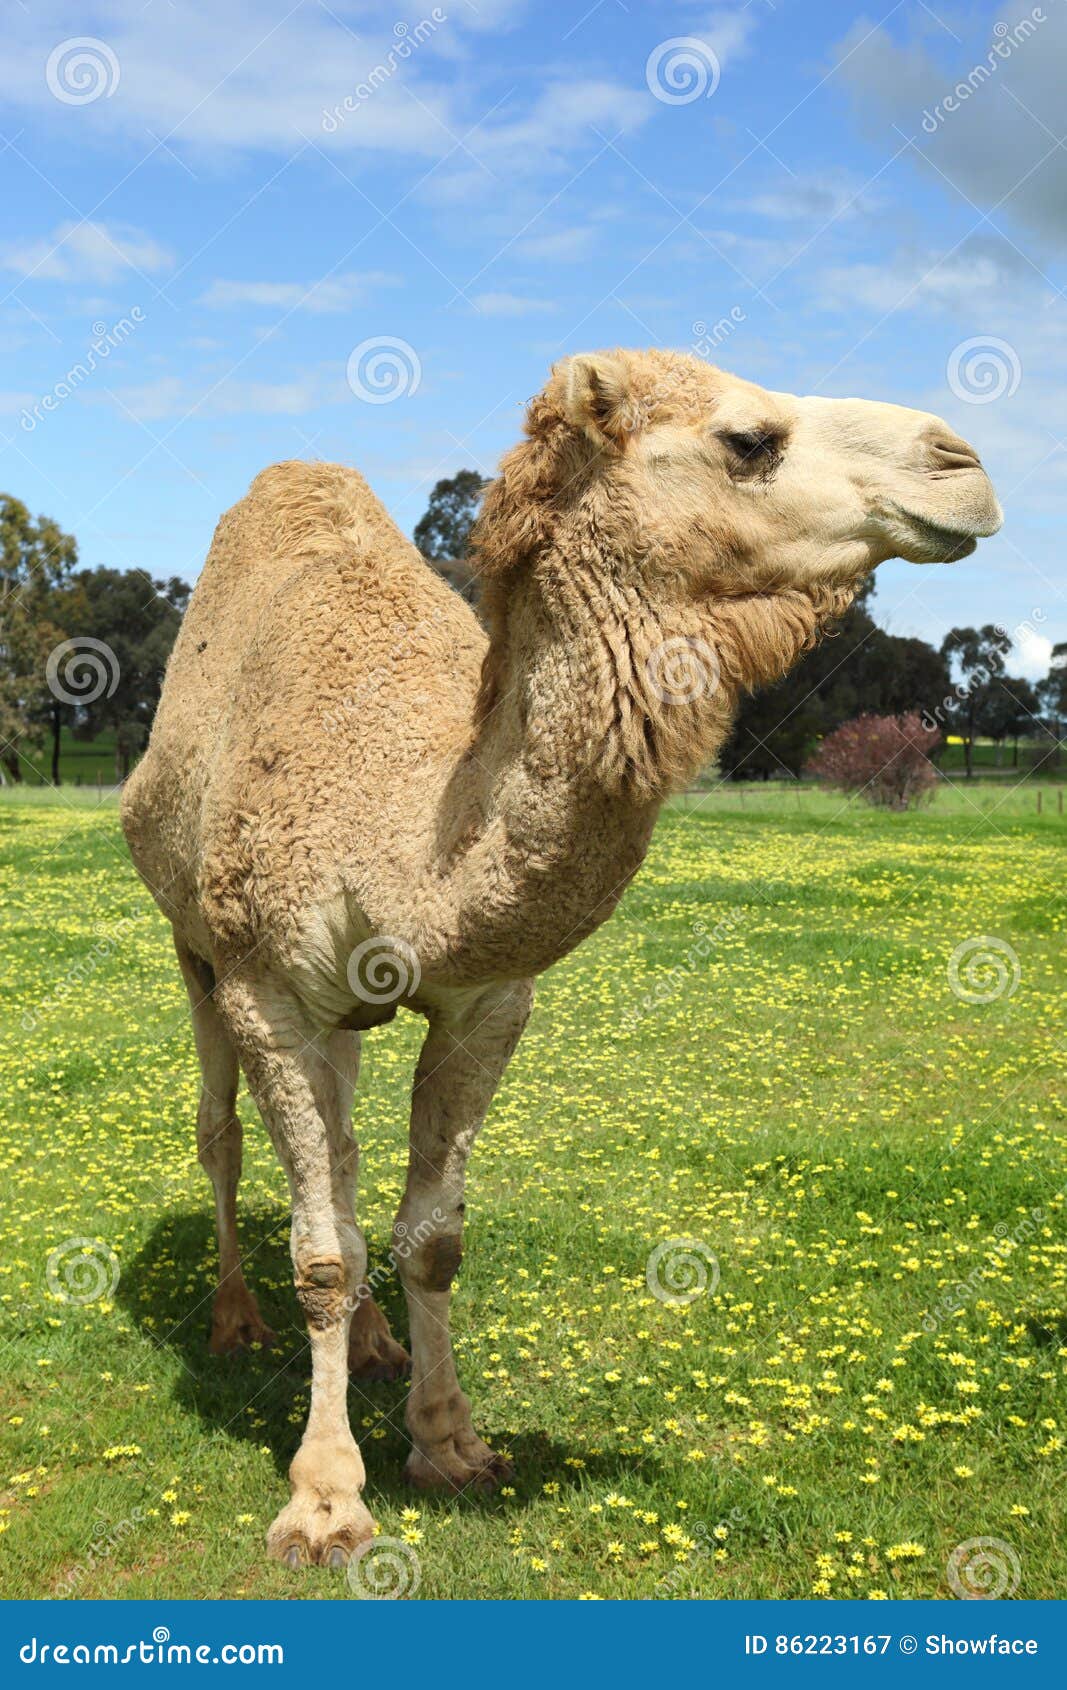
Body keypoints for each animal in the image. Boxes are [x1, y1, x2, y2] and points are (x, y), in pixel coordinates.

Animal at [121, 348, 1002, 1567]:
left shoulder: (488, 998)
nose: (962, 467)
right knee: (222, 1138)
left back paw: (378, 1345)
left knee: (340, 1156)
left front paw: (448, 1442)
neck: (405, 824)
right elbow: (322, 1251)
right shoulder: (267, 989)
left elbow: (430, 1237)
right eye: (747, 438)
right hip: (193, 951)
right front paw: (326, 1499)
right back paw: (235, 1319)